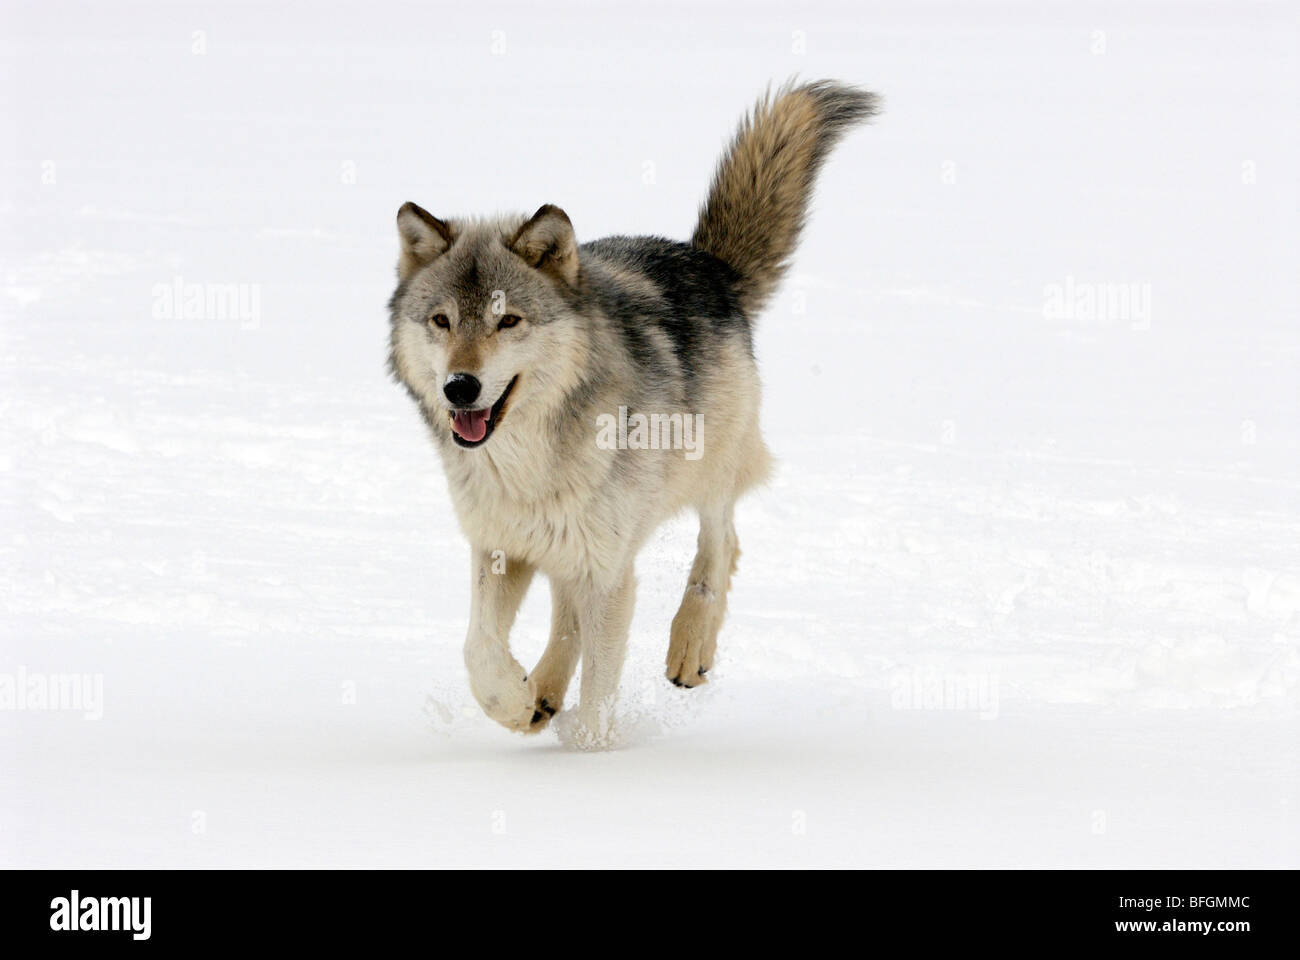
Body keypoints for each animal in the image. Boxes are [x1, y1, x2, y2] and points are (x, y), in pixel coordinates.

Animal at [387, 80, 878, 747]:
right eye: (441, 321)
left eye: (507, 320)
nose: (460, 388)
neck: (528, 463)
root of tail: (705, 262)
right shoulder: (501, 546)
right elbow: (479, 650)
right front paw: (515, 704)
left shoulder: (608, 566)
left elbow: (597, 695)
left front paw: (592, 755)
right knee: (566, 615)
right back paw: (543, 691)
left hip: (706, 469)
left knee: (722, 543)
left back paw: (688, 647)